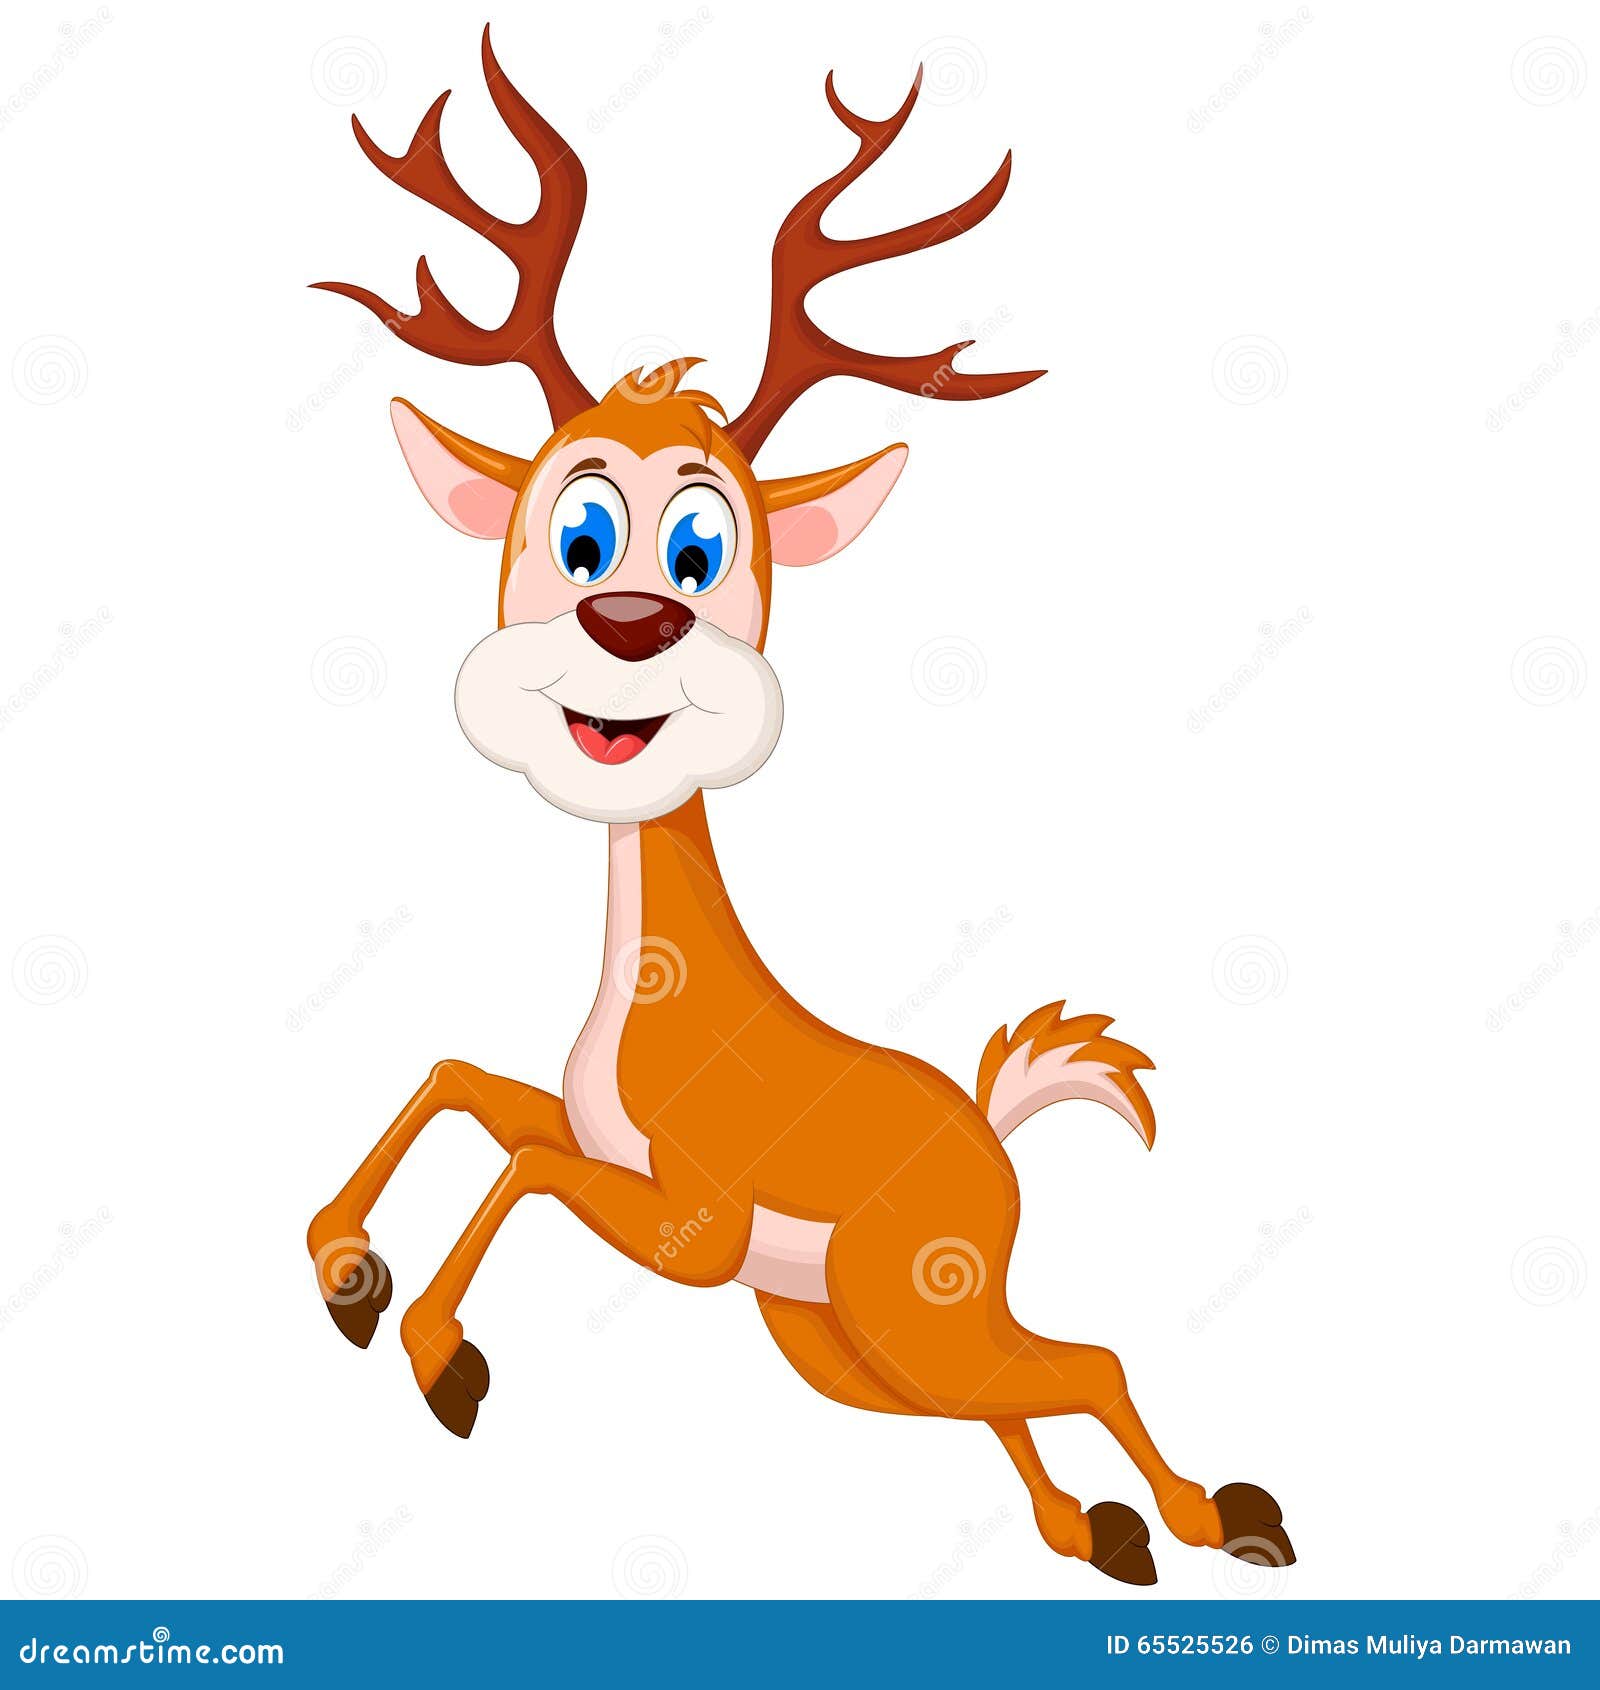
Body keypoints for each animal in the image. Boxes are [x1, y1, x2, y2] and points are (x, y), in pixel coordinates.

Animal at [306, 26, 1294, 1587]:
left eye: (704, 548)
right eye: (573, 526)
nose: (631, 624)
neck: (666, 1005)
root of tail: (990, 1134)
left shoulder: (695, 1223)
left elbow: (519, 1158)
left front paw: (436, 1353)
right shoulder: (607, 1148)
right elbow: (464, 1084)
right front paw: (347, 1273)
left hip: (901, 1306)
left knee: (1086, 1360)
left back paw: (1221, 1516)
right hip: (839, 1339)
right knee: (1011, 1396)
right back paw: (1100, 1528)